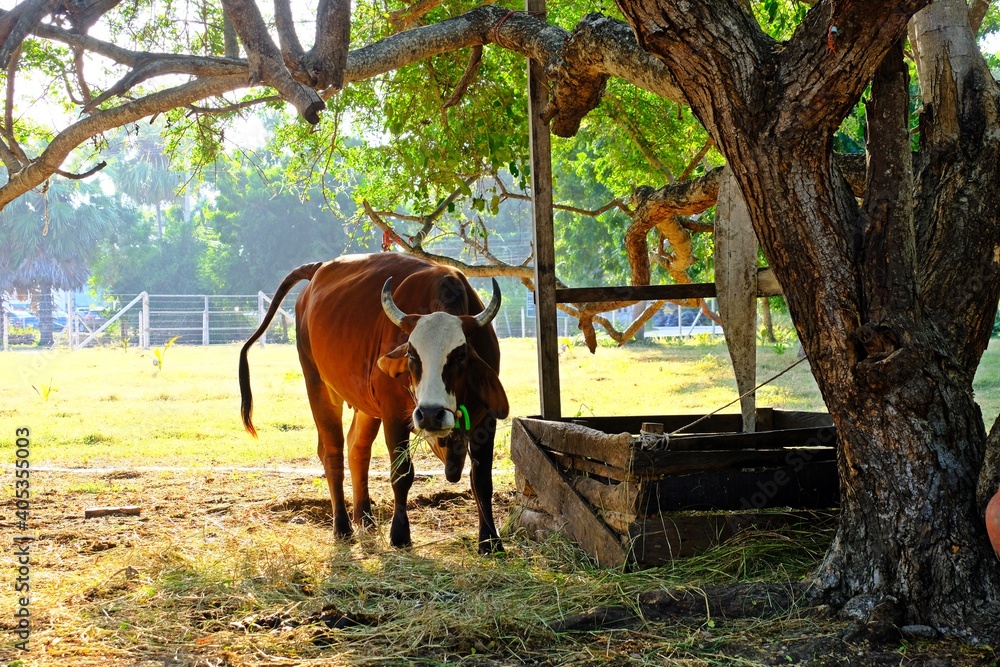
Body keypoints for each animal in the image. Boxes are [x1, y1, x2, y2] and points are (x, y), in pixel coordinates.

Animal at [239, 253, 509, 554]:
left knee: (358, 449)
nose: (430, 414)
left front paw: (490, 540)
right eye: (411, 354)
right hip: (317, 385)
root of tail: (318, 269)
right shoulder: (394, 416)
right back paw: (342, 527)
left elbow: (482, 479)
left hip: (366, 408)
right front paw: (400, 535)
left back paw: (365, 518)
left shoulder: (486, 419)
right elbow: (402, 474)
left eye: (460, 355)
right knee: (332, 453)